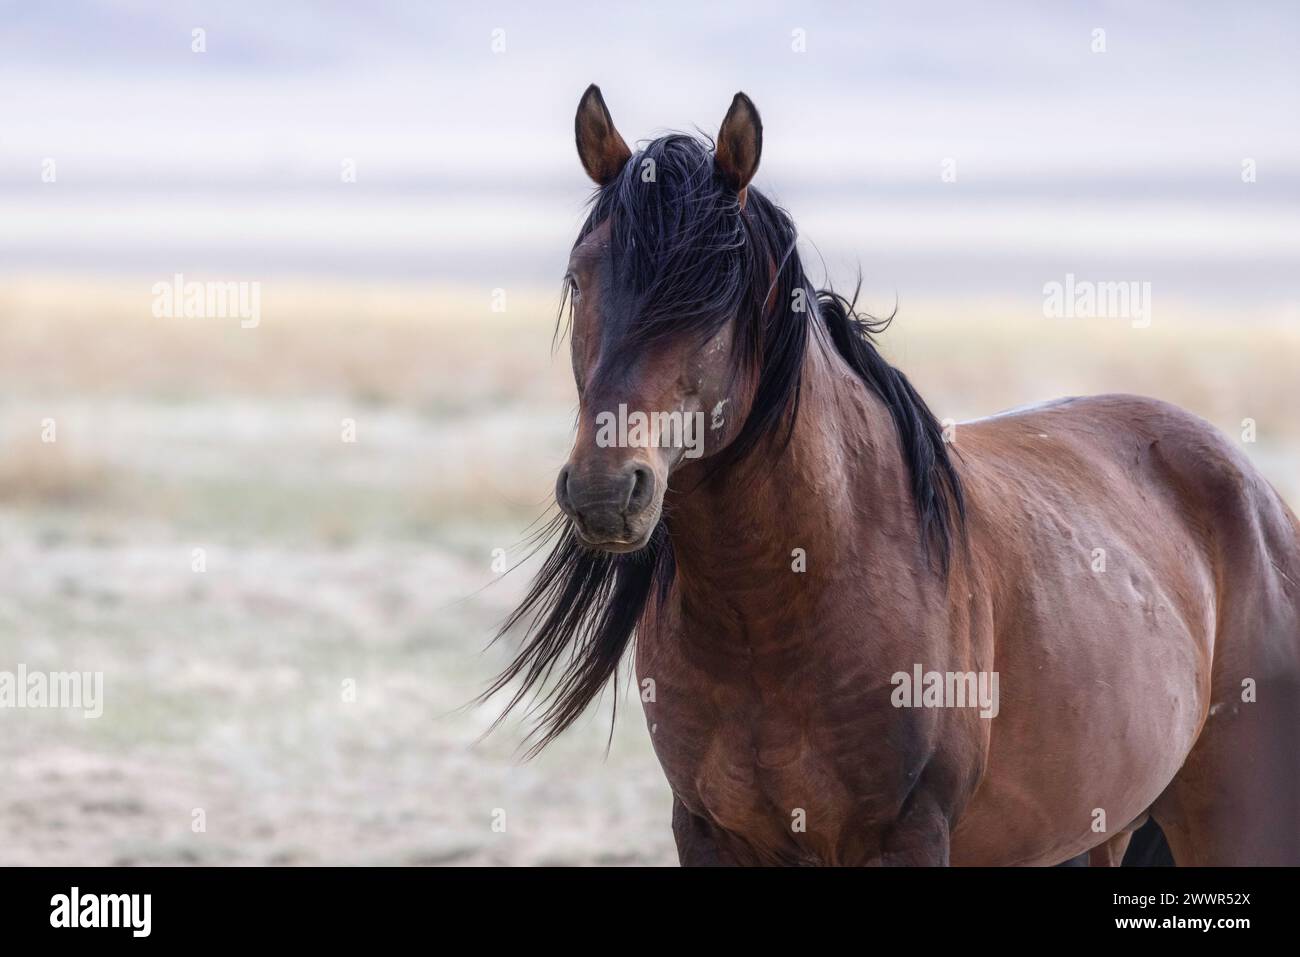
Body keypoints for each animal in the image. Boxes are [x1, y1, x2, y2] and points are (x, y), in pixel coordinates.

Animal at [483, 85, 1300, 865]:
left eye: (717, 294)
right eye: (579, 280)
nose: (605, 489)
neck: (775, 610)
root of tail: (1257, 495)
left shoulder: (907, 834)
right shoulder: (710, 833)